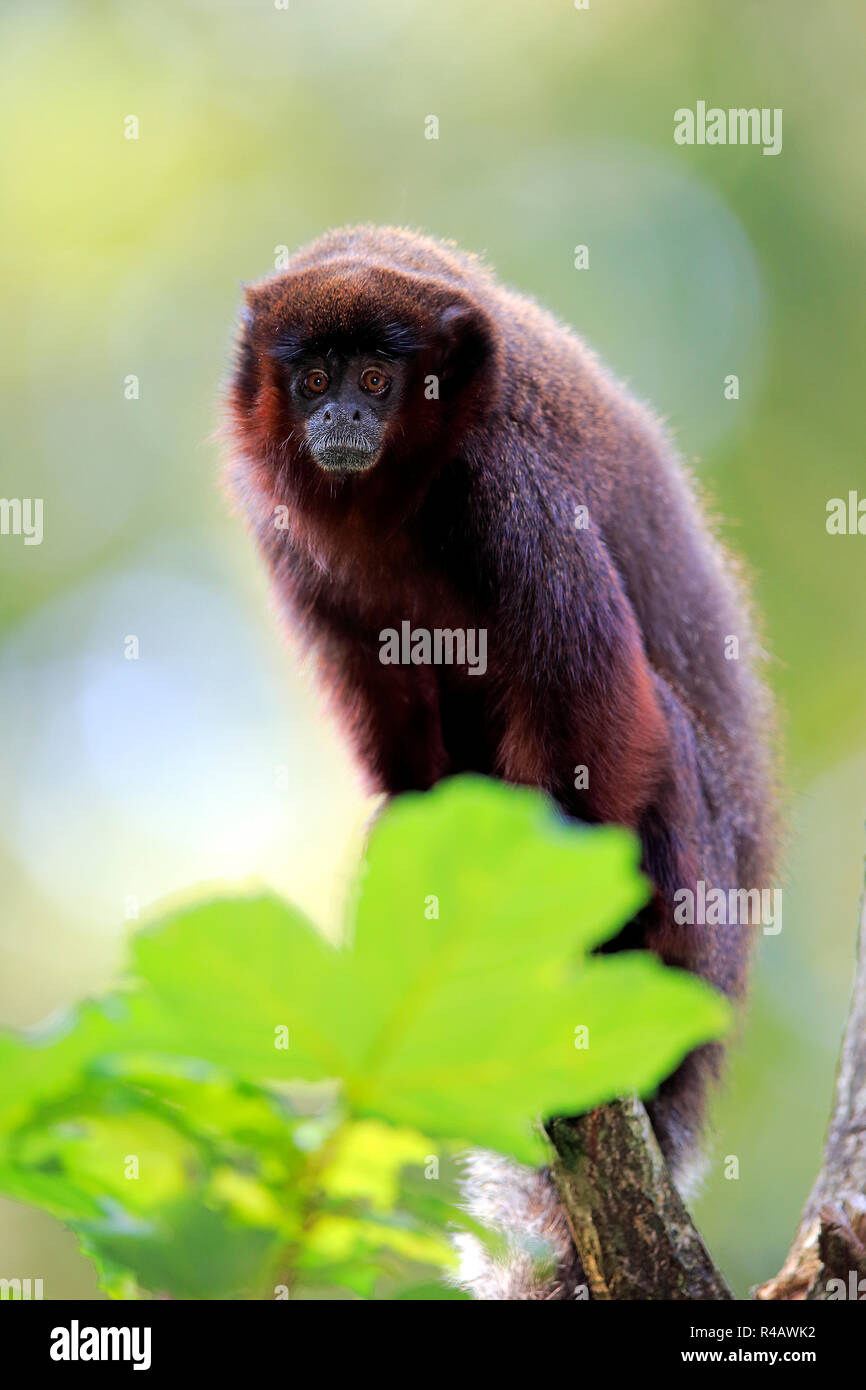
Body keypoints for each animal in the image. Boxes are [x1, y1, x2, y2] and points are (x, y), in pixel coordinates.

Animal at [223, 224, 775, 1298]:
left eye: (377, 378)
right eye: (312, 379)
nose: (343, 413)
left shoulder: (511, 486)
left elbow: (599, 702)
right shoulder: (284, 533)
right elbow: (392, 711)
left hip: (693, 920)